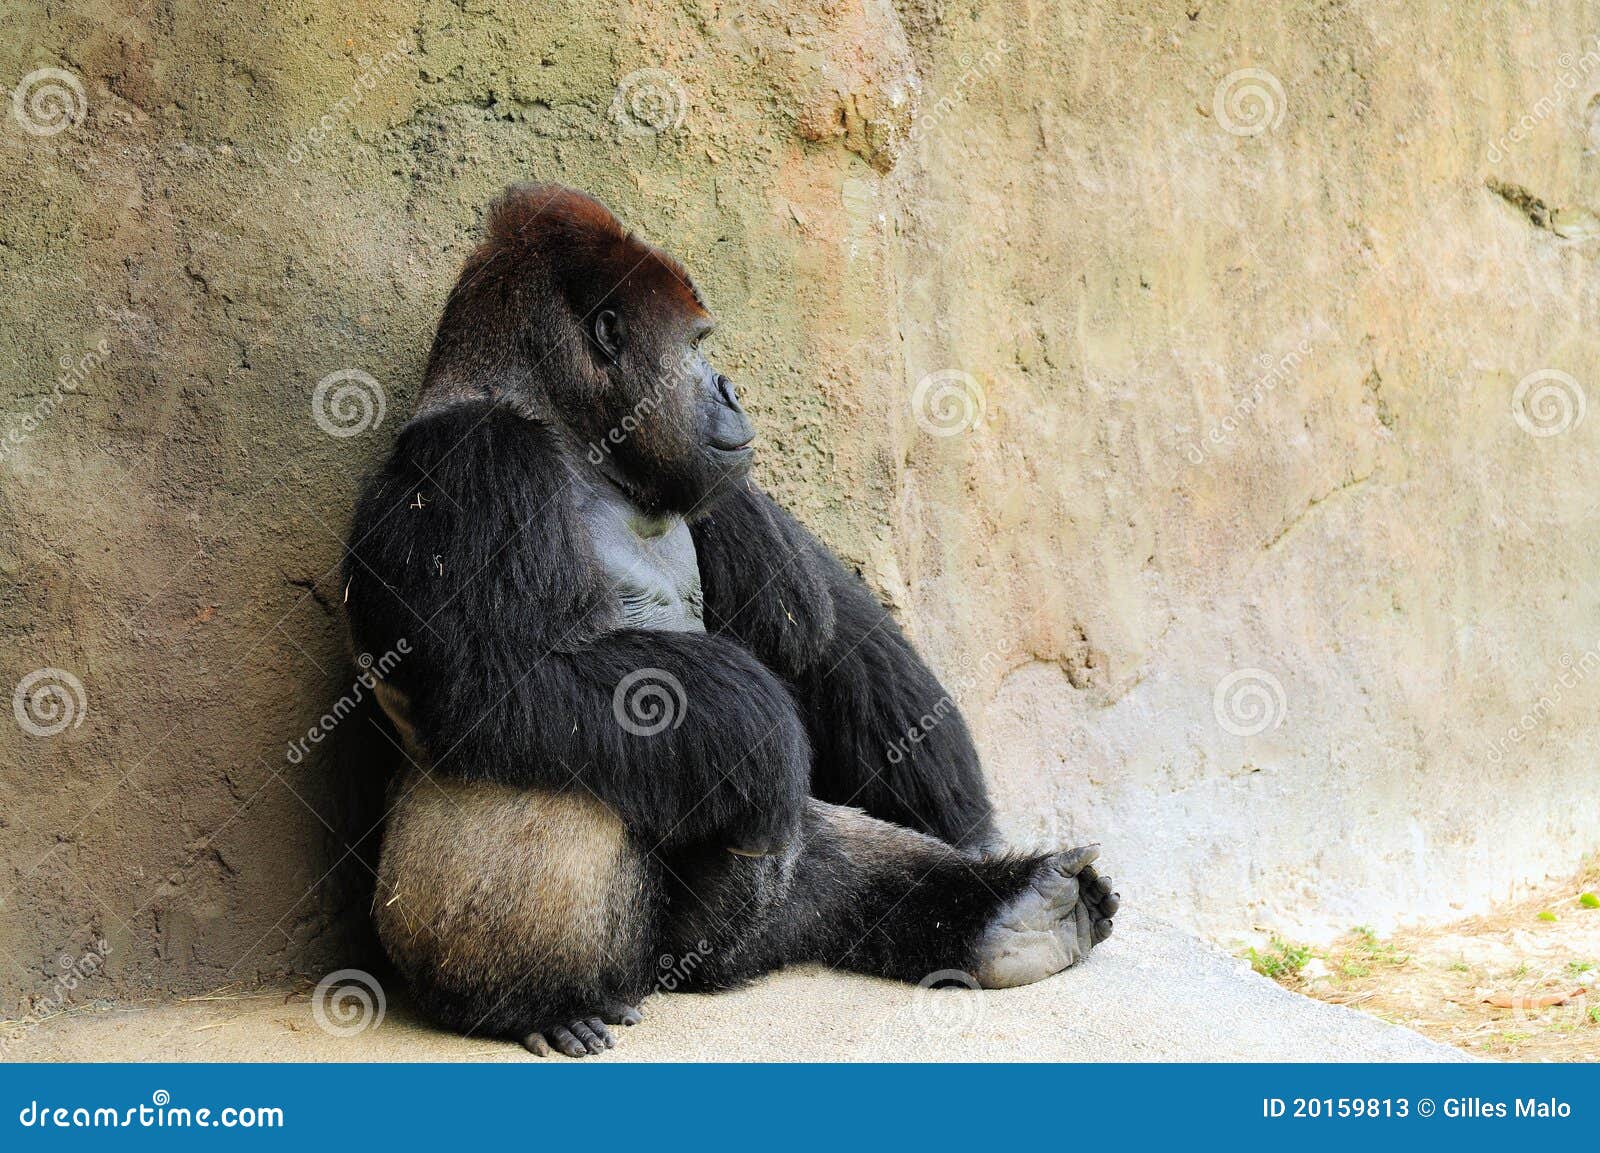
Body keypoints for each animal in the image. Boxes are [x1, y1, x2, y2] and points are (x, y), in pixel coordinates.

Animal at [342, 183, 1118, 1057]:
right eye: (694, 347)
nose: (732, 388)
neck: (568, 428)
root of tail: (678, 977)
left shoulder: (709, 483)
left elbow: (816, 627)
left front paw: (960, 811)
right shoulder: (475, 457)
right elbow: (512, 678)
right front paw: (766, 736)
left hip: (725, 941)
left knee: (822, 867)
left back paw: (1012, 912)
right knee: (545, 767)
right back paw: (530, 1003)